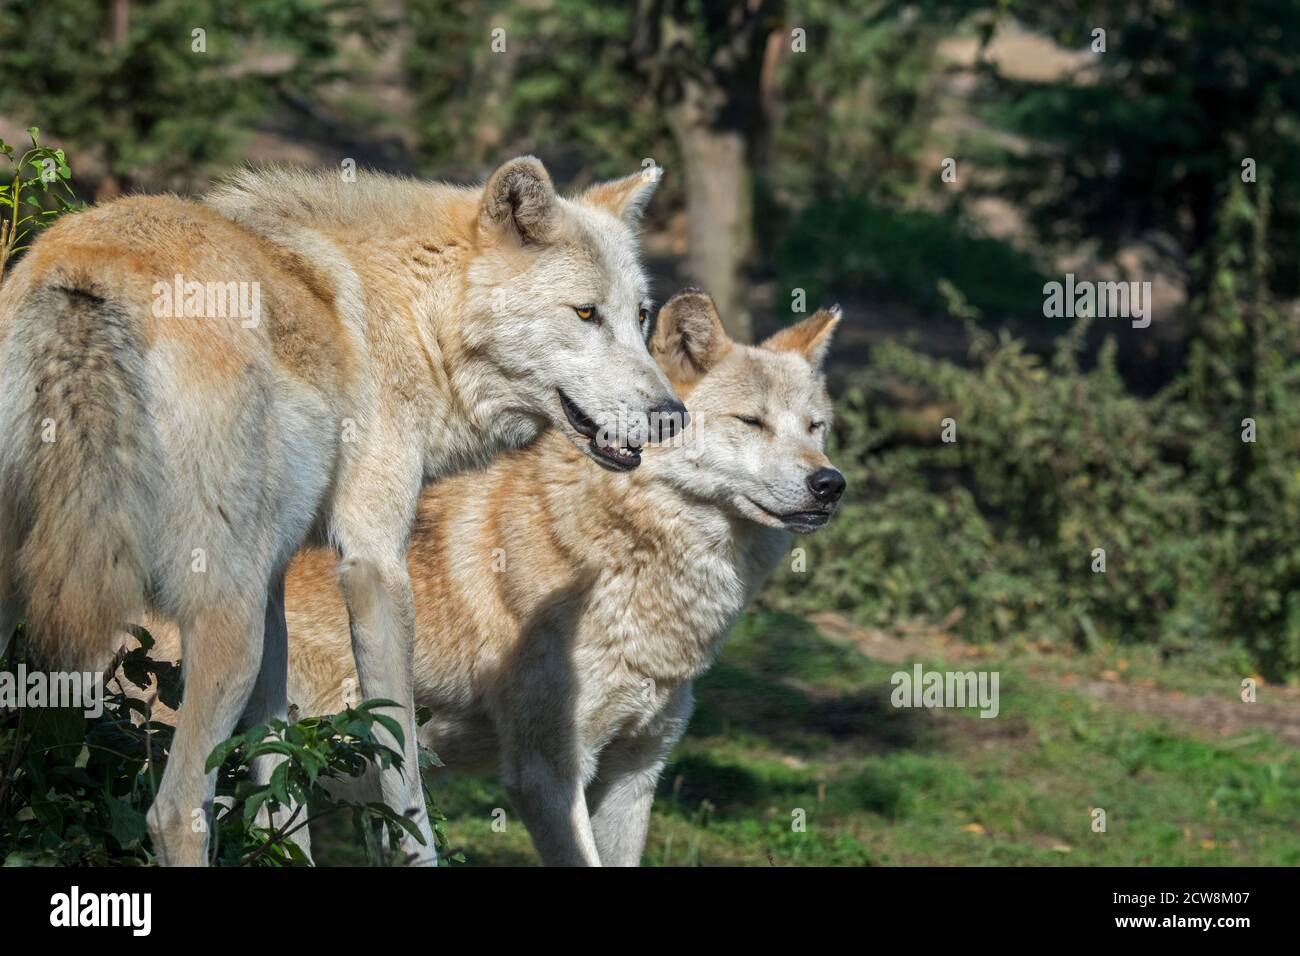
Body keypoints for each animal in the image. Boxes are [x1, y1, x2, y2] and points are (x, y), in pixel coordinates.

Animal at [0, 157, 683, 865]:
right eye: (586, 313)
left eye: (640, 315)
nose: (673, 415)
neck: (417, 313)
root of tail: (88, 274)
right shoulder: (373, 564)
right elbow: (400, 772)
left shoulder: (277, 582)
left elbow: (276, 766)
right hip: (226, 622)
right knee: (174, 812)